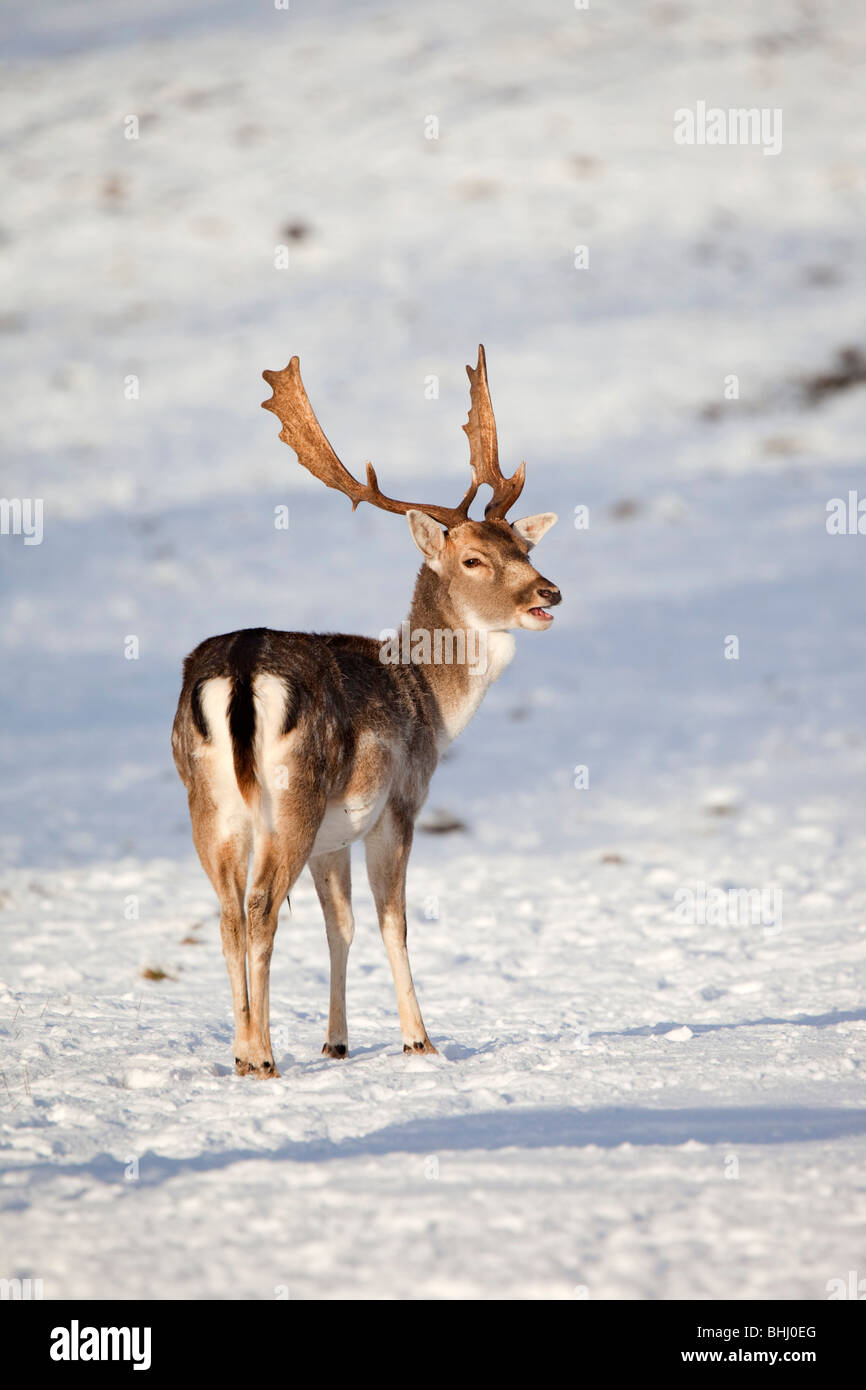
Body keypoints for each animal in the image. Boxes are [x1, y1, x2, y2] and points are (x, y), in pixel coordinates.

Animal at [171, 346, 561, 1077]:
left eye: (525, 549)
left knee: (227, 912)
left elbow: (340, 925)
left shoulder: (334, 838)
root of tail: (240, 669)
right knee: (260, 908)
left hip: (208, 798)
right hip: (293, 795)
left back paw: (242, 1051)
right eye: (474, 558)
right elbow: (392, 921)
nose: (548, 592)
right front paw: (419, 1040)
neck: (430, 700)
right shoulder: (400, 802)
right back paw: (261, 1056)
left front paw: (337, 1042)